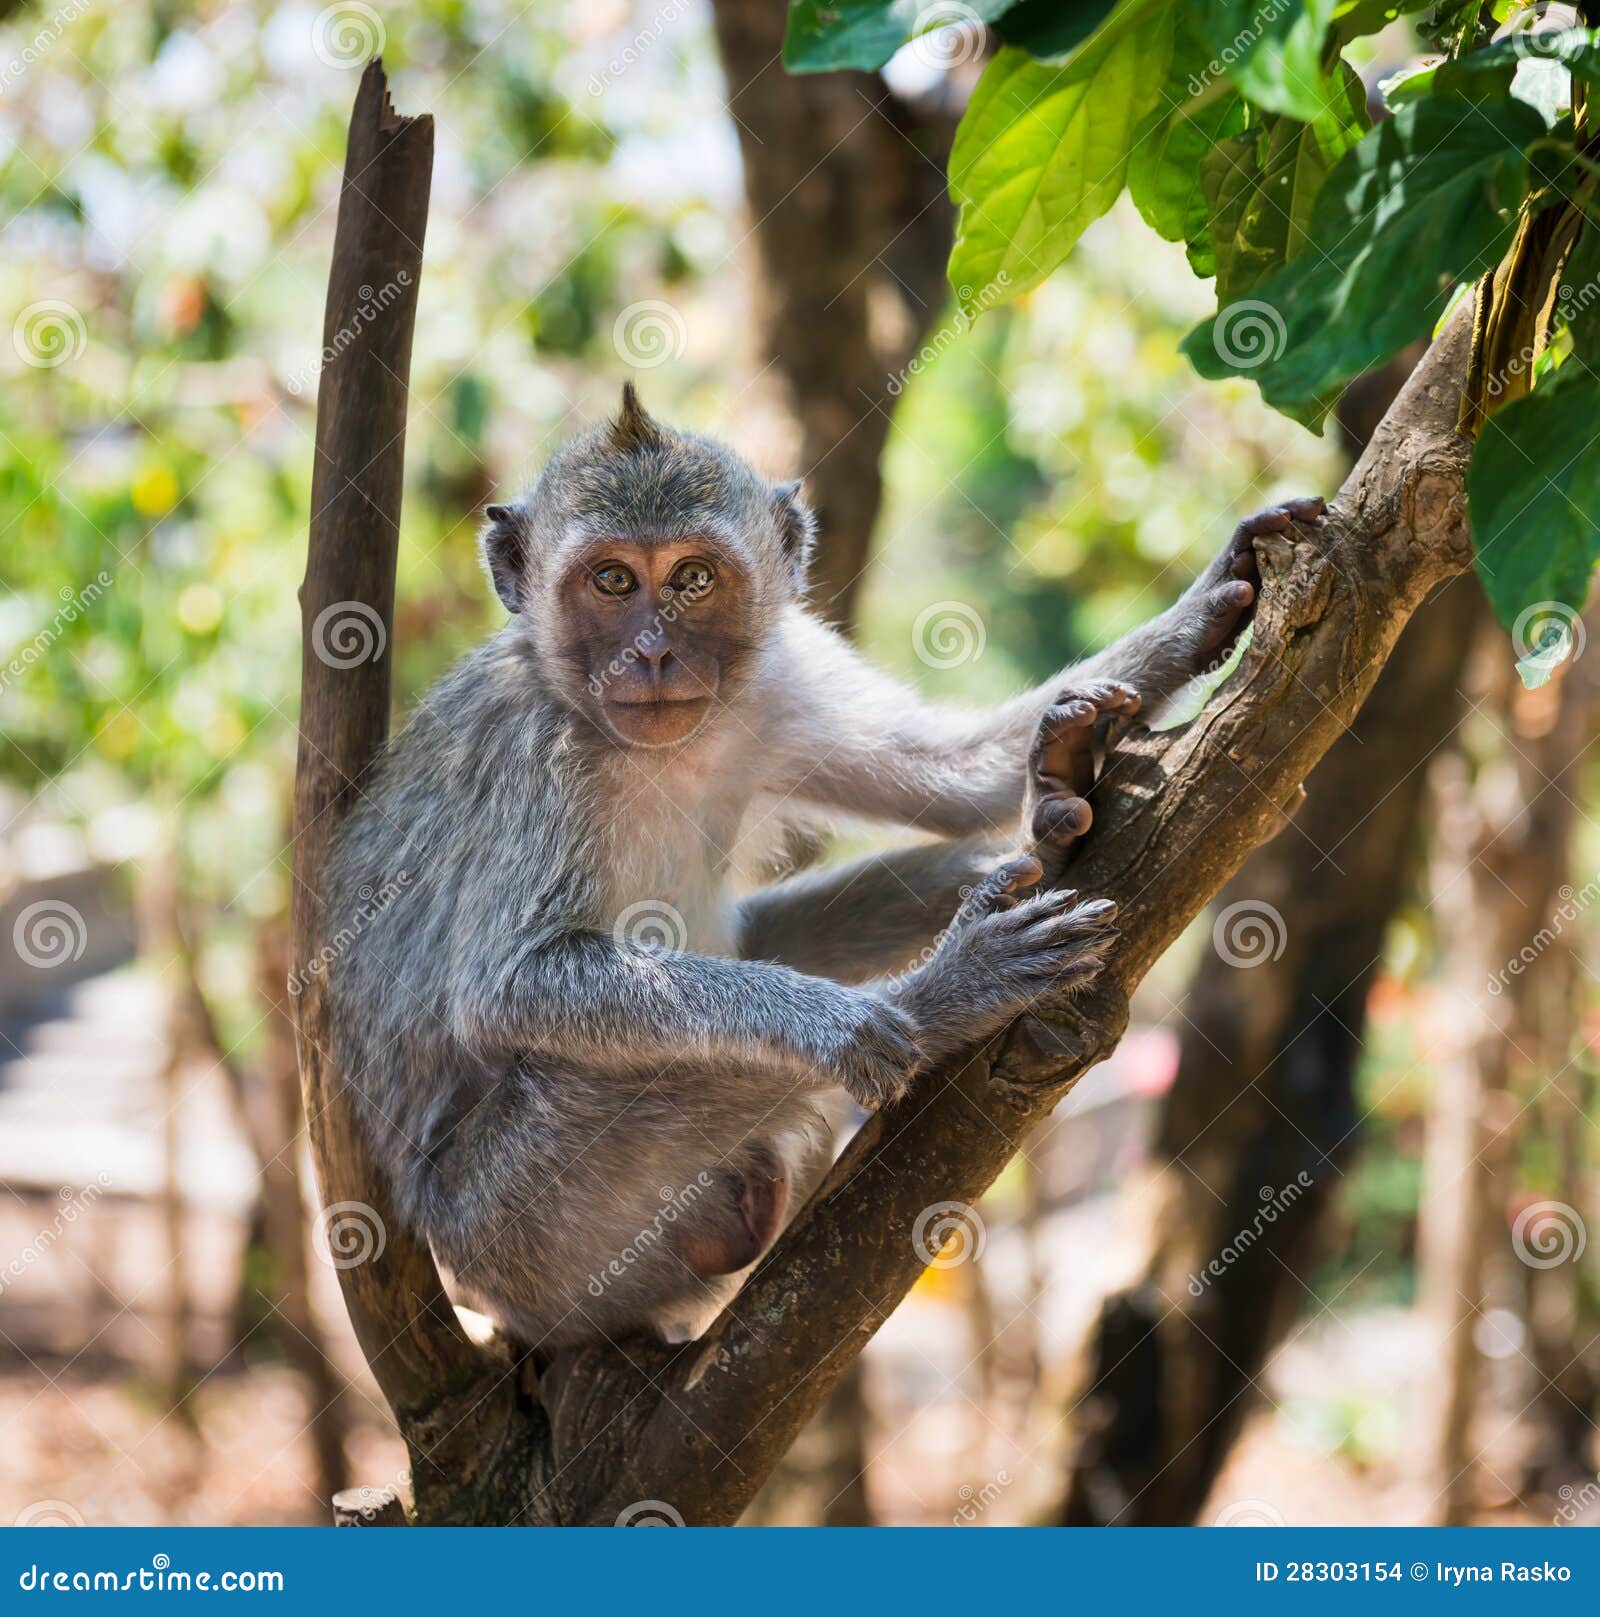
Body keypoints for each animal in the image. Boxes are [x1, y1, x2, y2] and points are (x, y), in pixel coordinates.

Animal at [323, 384, 1325, 1349]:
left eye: (693, 578)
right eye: (611, 580)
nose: (652, 652)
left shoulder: (782, 676)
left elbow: (952, 777)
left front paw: (1204, 606)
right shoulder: (531, 753)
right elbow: (512, 982)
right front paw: (856, 1018)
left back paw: (1050, 818)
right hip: (520, 1230)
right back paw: (945, 994)